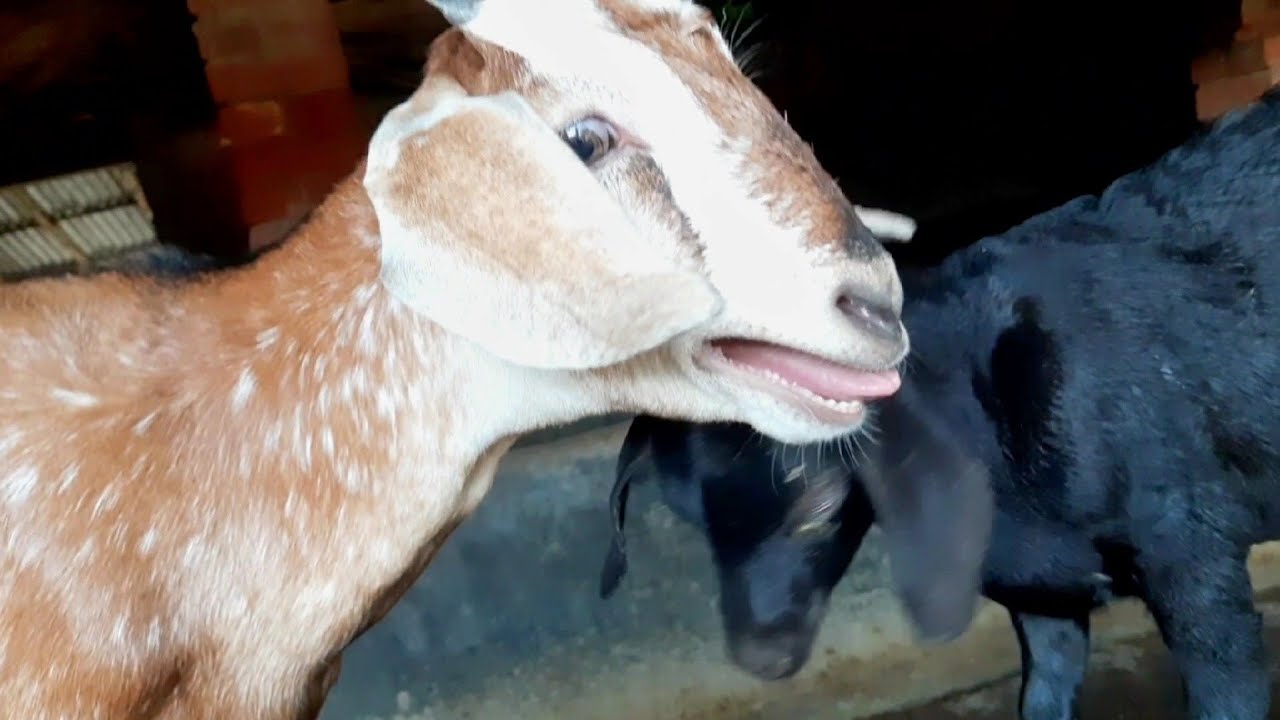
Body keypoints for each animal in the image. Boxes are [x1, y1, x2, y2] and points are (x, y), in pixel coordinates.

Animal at [600, 88, 1280, 720]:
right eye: (690, 518)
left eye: (821, 505)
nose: (762, 659)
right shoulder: (1047, 606)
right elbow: (1043, 696)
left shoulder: (1195, 561)